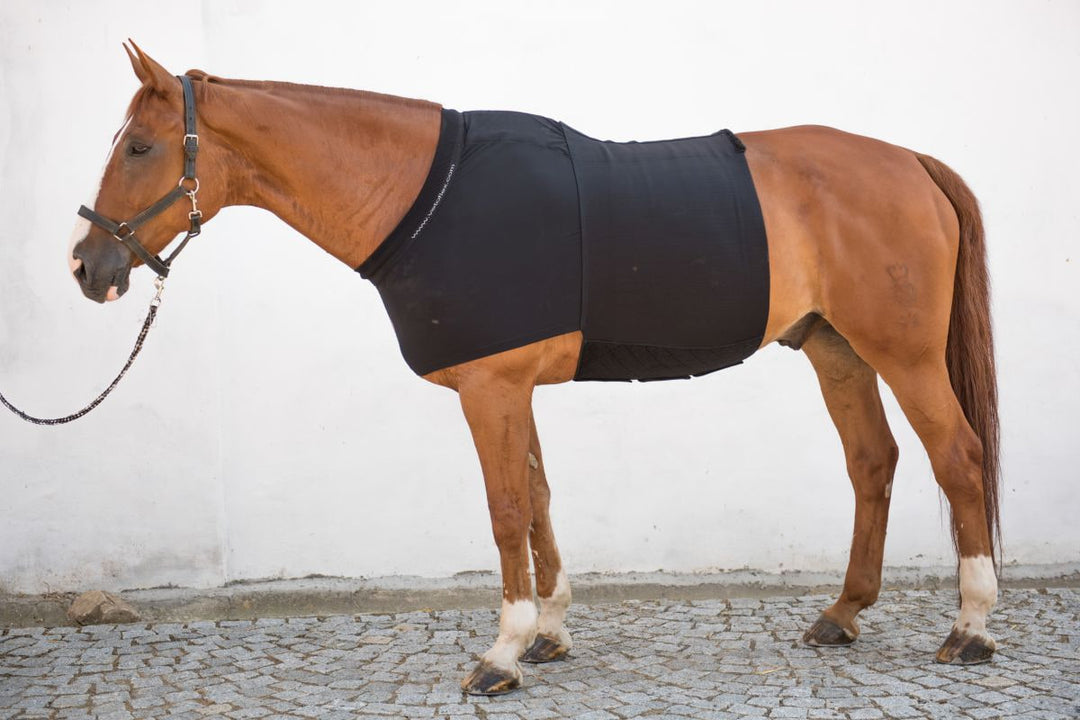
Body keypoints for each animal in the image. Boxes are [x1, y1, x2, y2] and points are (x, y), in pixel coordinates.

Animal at [68, 42, 1000, 696]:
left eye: (141, 147)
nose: (86, 266)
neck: (426, 196)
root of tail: (910, 162)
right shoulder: (512, 388)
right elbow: (540, 497)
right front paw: (549, 631)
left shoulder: (490, 388)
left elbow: (506, 505)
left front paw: (503, 650)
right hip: (836, 348)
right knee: (873, 461)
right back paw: (842, 615)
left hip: (905, 356)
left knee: (958, 458)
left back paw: (972, 629)